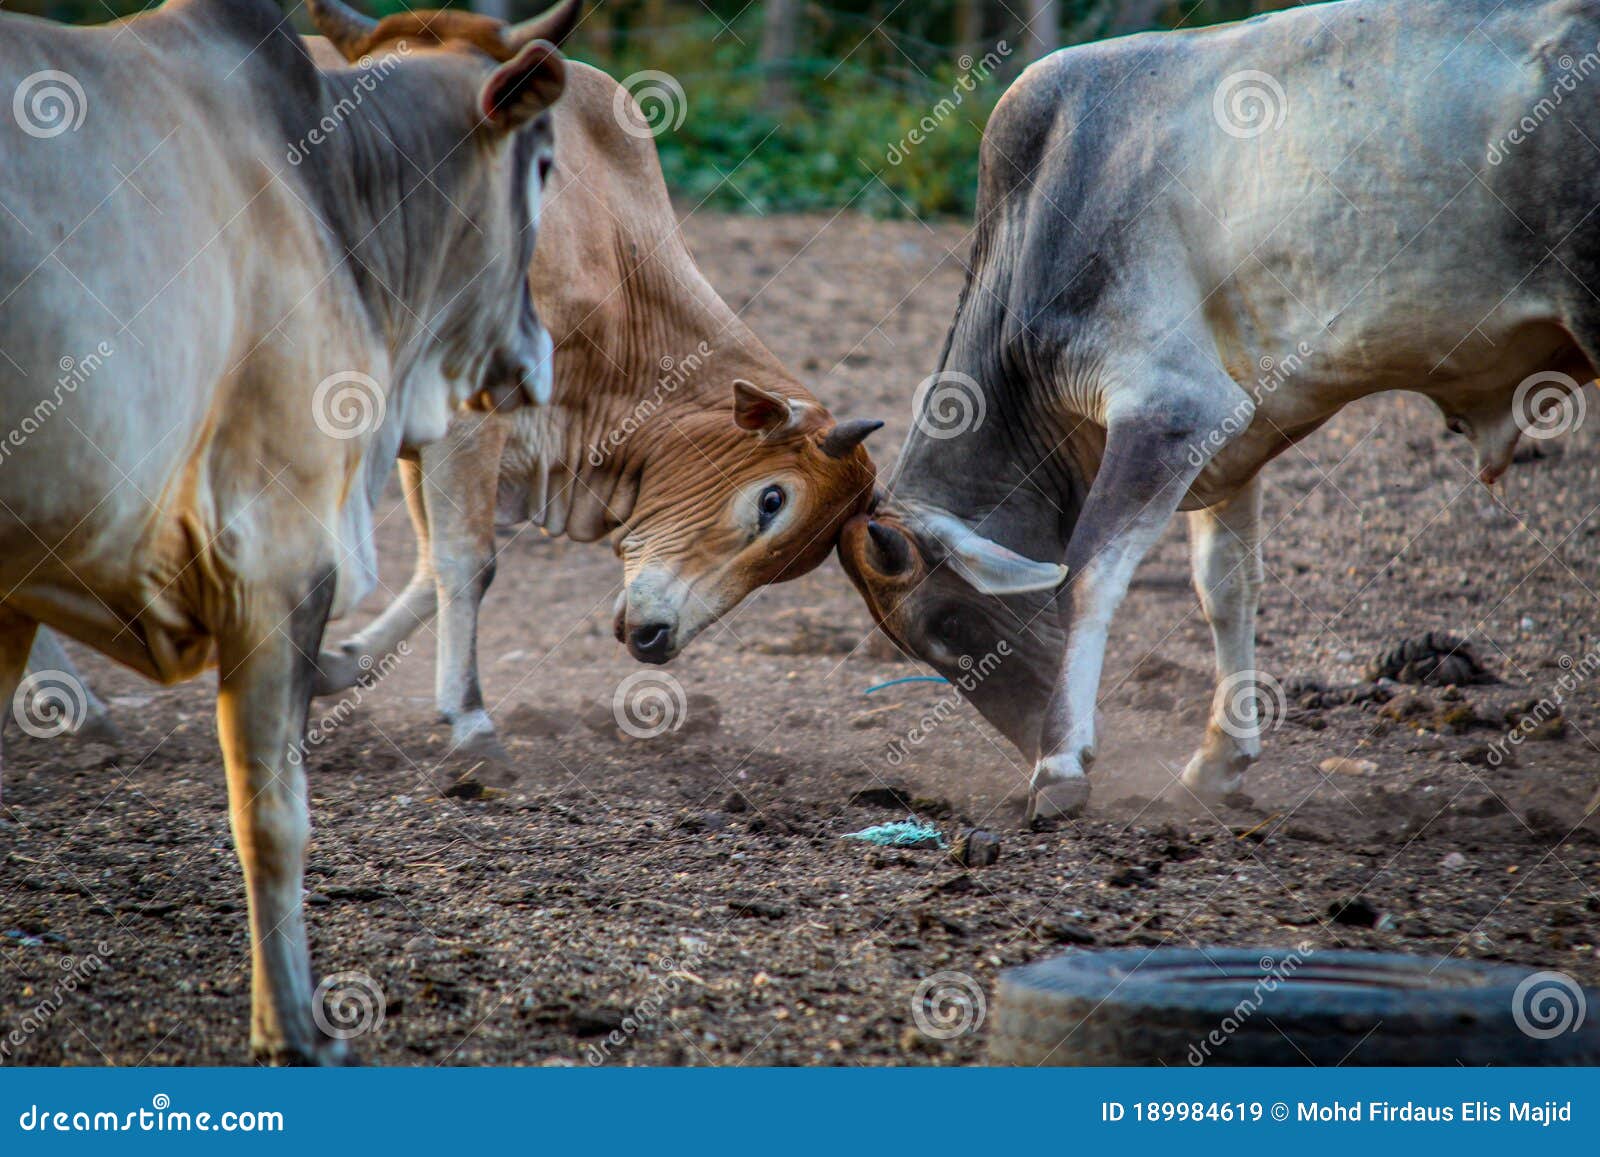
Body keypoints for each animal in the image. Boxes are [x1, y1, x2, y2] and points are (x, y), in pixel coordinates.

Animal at [0, 0, 574, 1062]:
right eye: (546, 164)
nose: (539, 347)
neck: (332, 190)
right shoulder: (274, 558)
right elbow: (274, 818)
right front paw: (294, 1027)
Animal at [838, 0, 1600, 822]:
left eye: (947, 625)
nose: (1030, 731)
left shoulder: (1172, 409)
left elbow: (1088, 572)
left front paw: (1061, 762)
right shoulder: (1231, 434)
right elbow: (1224, 588)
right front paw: (1220, 758)